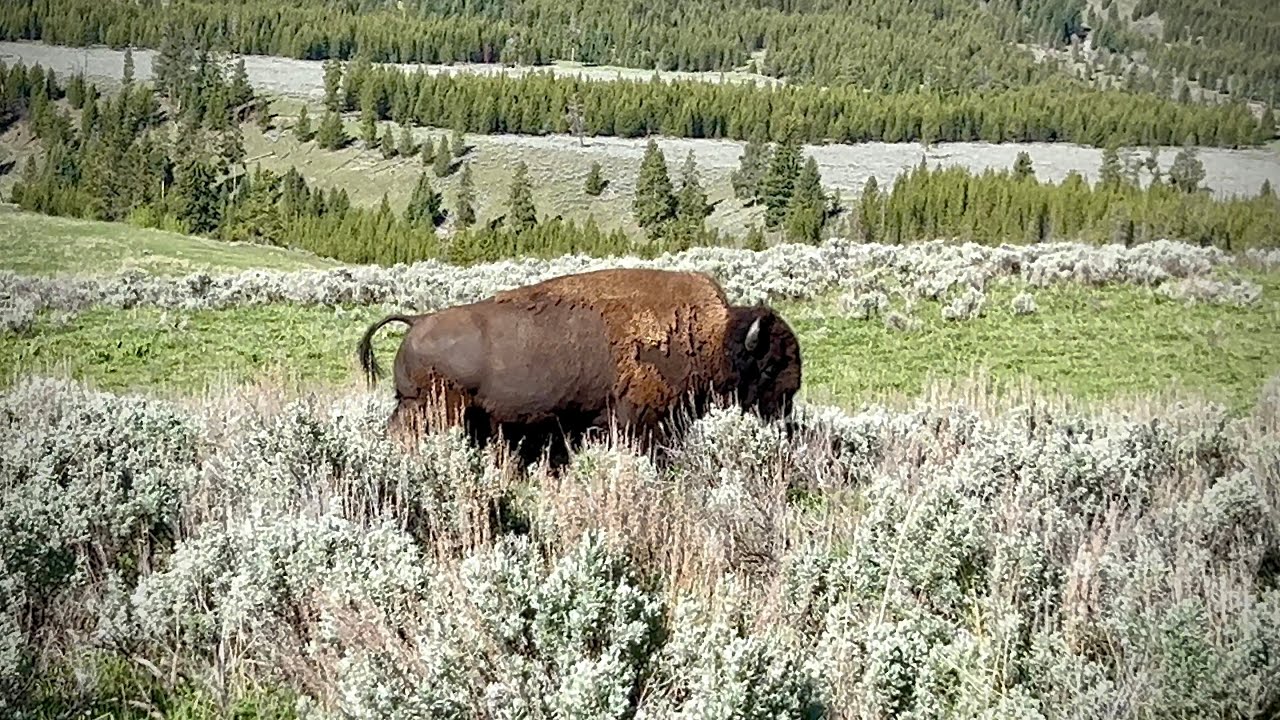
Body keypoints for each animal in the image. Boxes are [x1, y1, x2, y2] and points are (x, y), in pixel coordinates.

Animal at [356, 267, 802, 468]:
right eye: (770, 366)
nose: (786, 410)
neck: (708, 336)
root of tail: (417, 320)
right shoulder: (640, 422)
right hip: (433, 410)